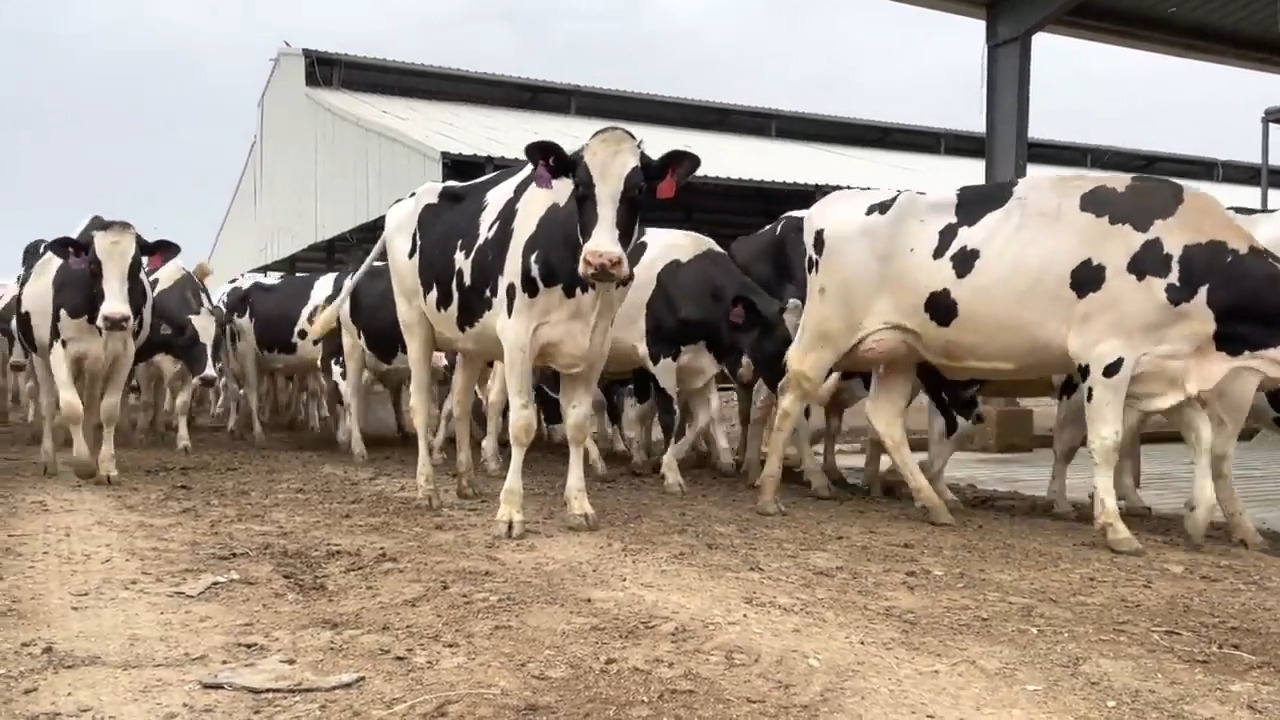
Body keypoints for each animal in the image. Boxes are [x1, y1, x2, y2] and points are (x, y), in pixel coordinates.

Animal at [15, 216, 181, 481]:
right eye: (92, 265)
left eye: (137, 267)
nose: (116, 319)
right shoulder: (59, 351)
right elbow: (71, 406)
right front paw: (82, 464)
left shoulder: (124, 355)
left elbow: (108, 410)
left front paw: (105, 466)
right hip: (39, 356)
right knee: (49, 404)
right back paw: (49, 459)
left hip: (95, 365)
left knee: (91, 404)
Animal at [308, 126, 701, 538]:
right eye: (579, 185)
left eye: (638, 188)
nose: (602, 260)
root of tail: (407, 200)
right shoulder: (518, 341)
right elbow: (522, 423)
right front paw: (510, 512)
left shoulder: (594, 346)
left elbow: (578, 424)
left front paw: (579, 505)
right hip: (411, 322)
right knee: (418, 404)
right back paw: (427, 488)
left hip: (469, 342)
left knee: (461, 403)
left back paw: (466, 481)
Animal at [758, 174, 1280, 556]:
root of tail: (829, 205)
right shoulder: (1106, 358)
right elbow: (1107, 442)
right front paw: (1114, 527)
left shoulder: (1163, 373)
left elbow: (1204, 440)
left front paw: (1197, 517)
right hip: (826, 332)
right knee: (791, 393)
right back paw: (771, 491)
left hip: (898, 350)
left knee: (883, 418)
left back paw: (932, 503)